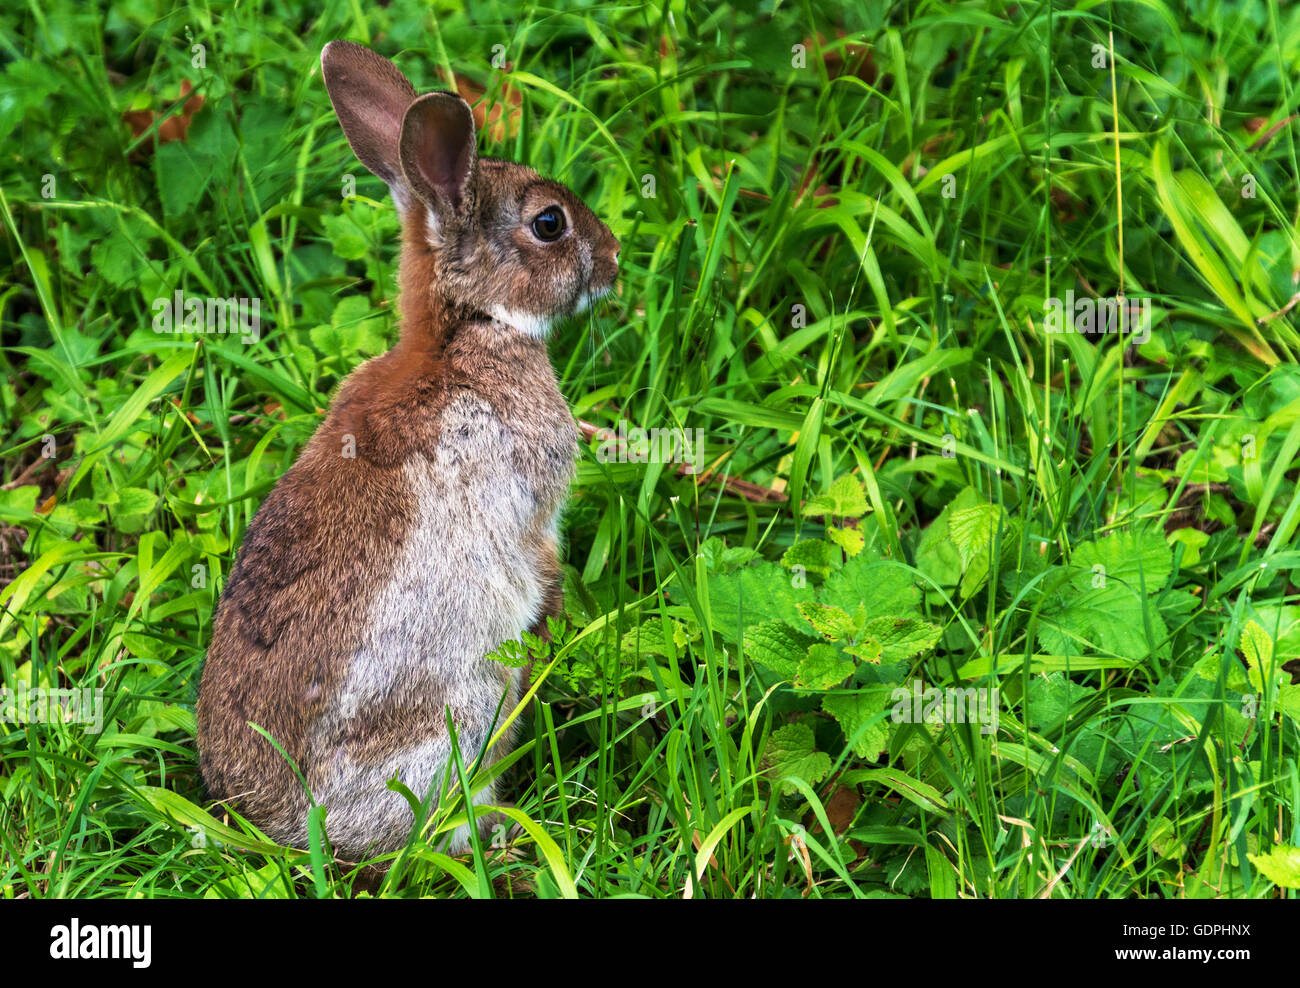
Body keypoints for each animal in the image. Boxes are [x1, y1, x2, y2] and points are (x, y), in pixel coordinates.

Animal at [195, 39, 620, 861]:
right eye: (549, 223)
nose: (614, 259)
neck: (461, 332)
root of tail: (288, 825)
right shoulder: (532, 511)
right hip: (461, 712)